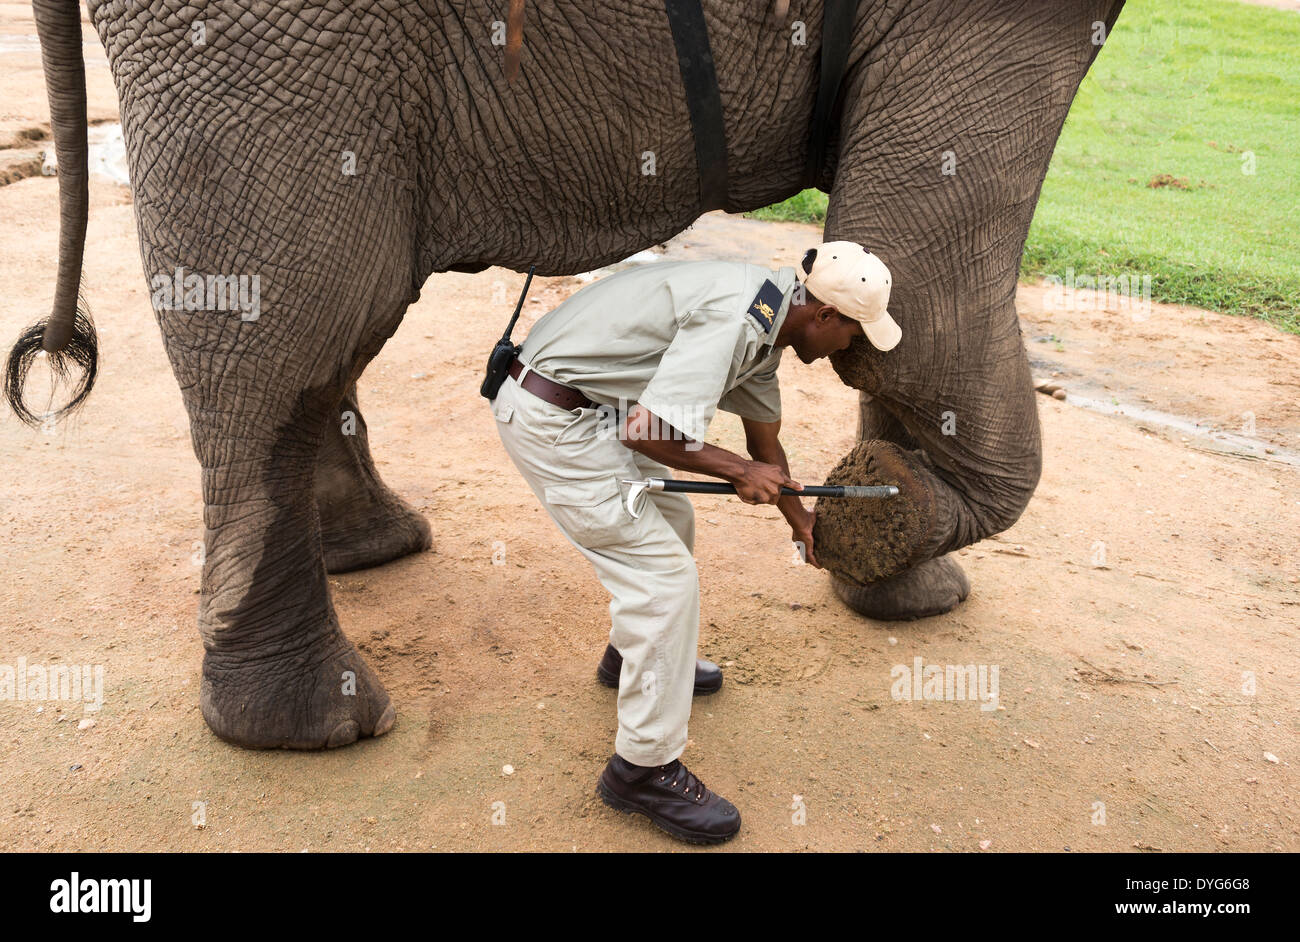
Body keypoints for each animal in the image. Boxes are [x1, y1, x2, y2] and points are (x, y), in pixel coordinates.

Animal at [6, 0, 1126, 749]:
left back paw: (377, 555)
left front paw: (877, 561)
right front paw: (887, 536)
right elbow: (923, 280)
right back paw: (315, 728)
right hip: (262, 43)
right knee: (289, 324)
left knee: (334, 324)